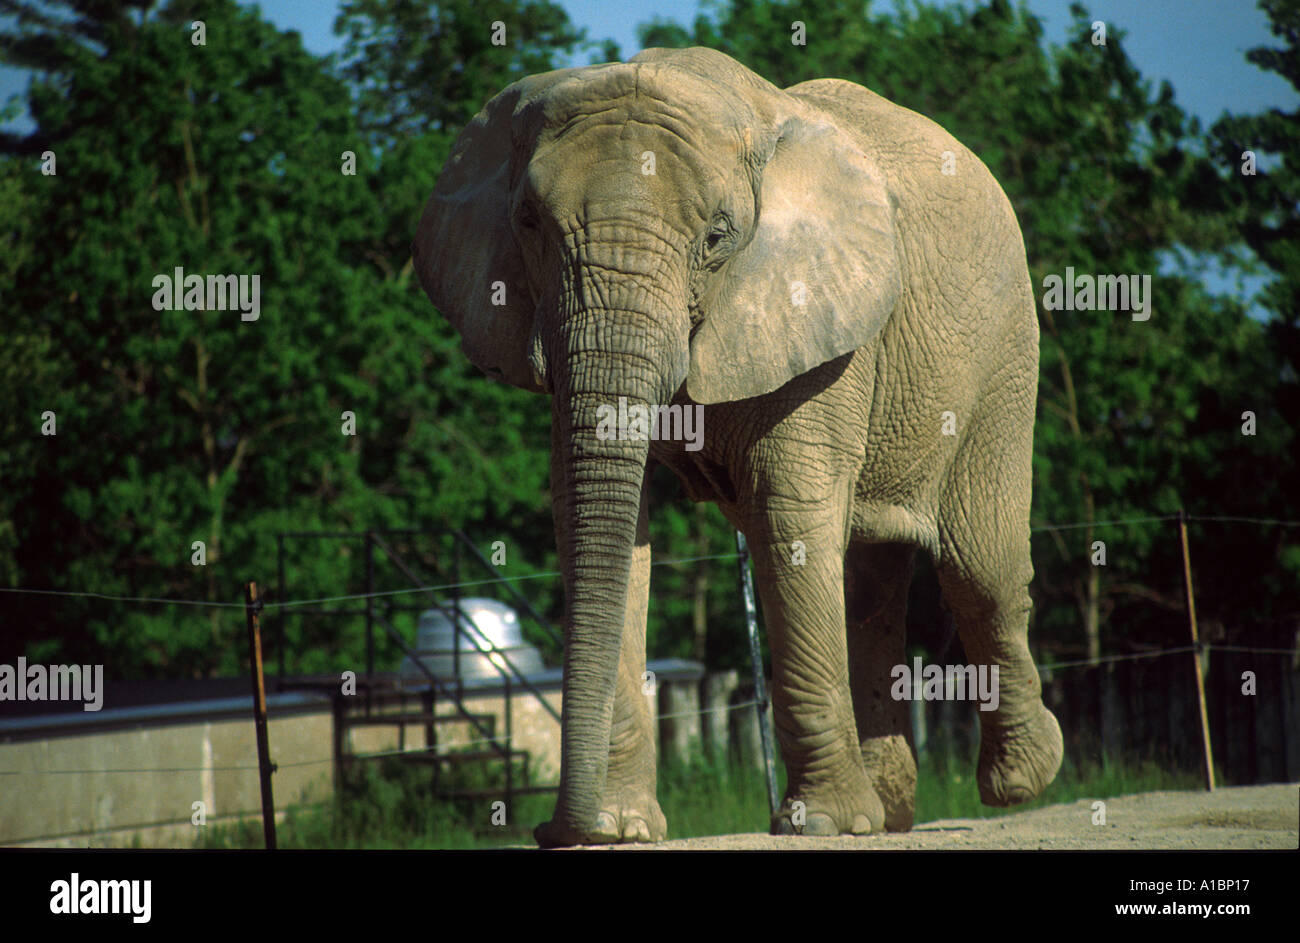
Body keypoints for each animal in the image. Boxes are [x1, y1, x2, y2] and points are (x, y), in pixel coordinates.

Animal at [411, 46, 1063, 846]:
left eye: (717, 237)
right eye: (528, 222)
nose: (553, 830)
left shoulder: (821, 324)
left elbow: (789, 514)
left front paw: (819, 824)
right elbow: (598, 520)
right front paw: (622, 829)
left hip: (1004, 350)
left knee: (979, 569)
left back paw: (1021, 780)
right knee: (871, 584)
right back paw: (889, 815)